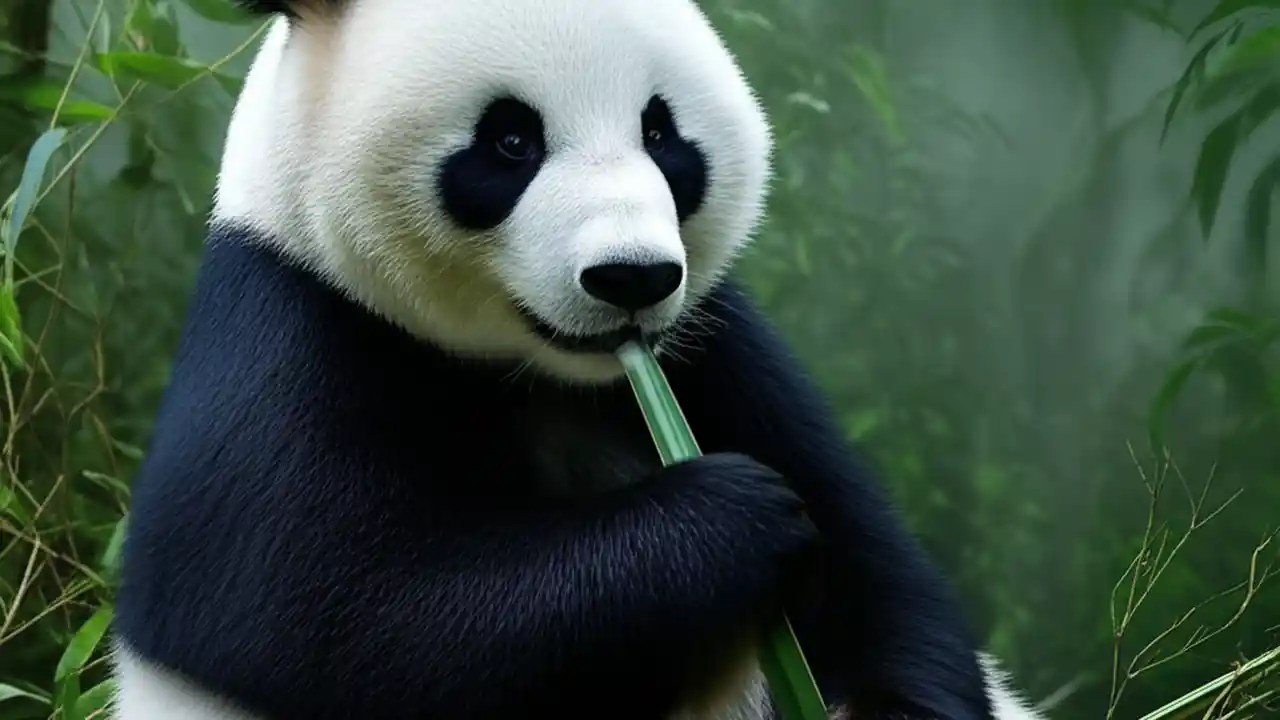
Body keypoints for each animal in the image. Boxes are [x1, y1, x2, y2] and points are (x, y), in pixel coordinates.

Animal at [109, 1, 1045, 719]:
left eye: (662, 131)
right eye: (509, 142)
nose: (631, 276)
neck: (541, 373)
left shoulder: (716, 348)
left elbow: (883, 587)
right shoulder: (289, 340)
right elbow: (348, 619)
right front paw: (729, 518)